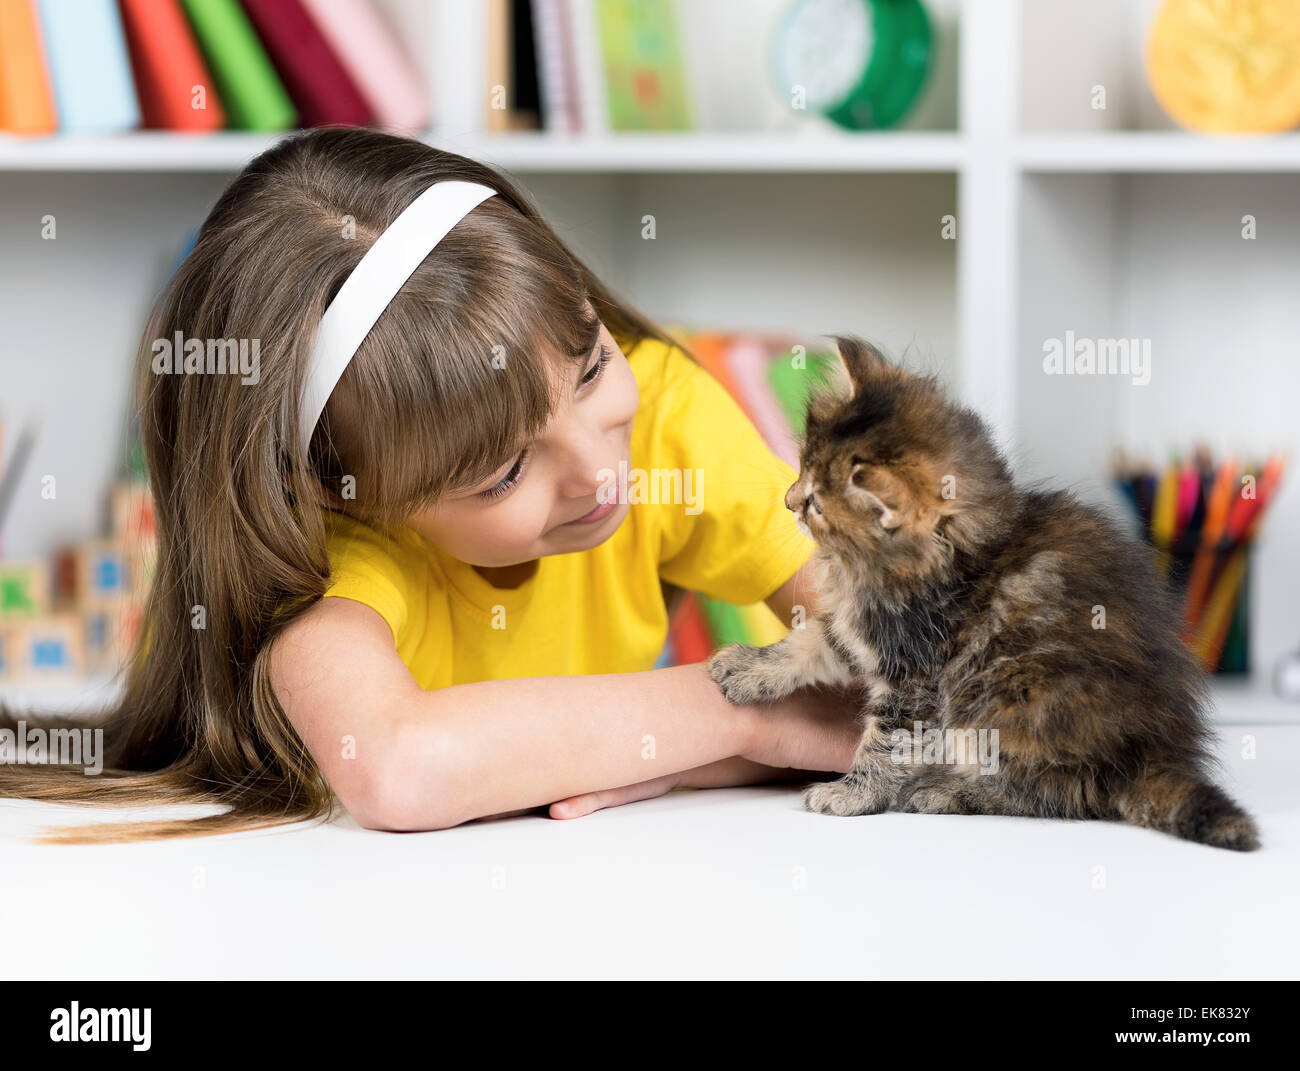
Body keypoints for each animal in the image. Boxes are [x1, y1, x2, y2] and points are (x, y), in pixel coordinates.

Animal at [712, 335, 1258, 852]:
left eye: (818, 504)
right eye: (802, 468)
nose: (788, 502)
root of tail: (1150, 749)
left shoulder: (916, 677)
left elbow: (887, 740)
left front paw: (853, 793)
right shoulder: (862, 630)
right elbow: (811, 640)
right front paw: (748, 667)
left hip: (1002, 698)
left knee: (1061, 793)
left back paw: (946, 791)